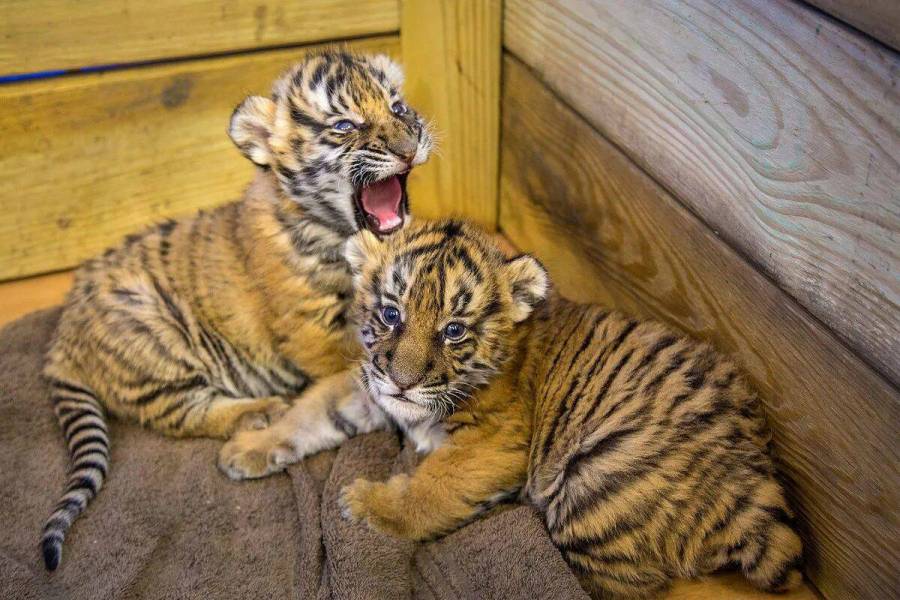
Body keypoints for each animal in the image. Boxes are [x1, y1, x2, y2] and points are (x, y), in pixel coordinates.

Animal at [39, 49, 433, 571]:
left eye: (397, 107)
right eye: (344, 125)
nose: (410, 147)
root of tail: (61, 336)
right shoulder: (314, 330)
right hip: (152, 338)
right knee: (182, 414)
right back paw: (261, 411)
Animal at [218, 219, 804, 599]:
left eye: (454, 330)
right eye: (391, 314)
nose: (404, 384)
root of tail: (759, 489)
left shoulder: (494, 441)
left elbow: (434, 486)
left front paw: (365, 504)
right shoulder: (373, 387)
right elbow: (311, 411)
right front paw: (248, 446)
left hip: (595, 479)